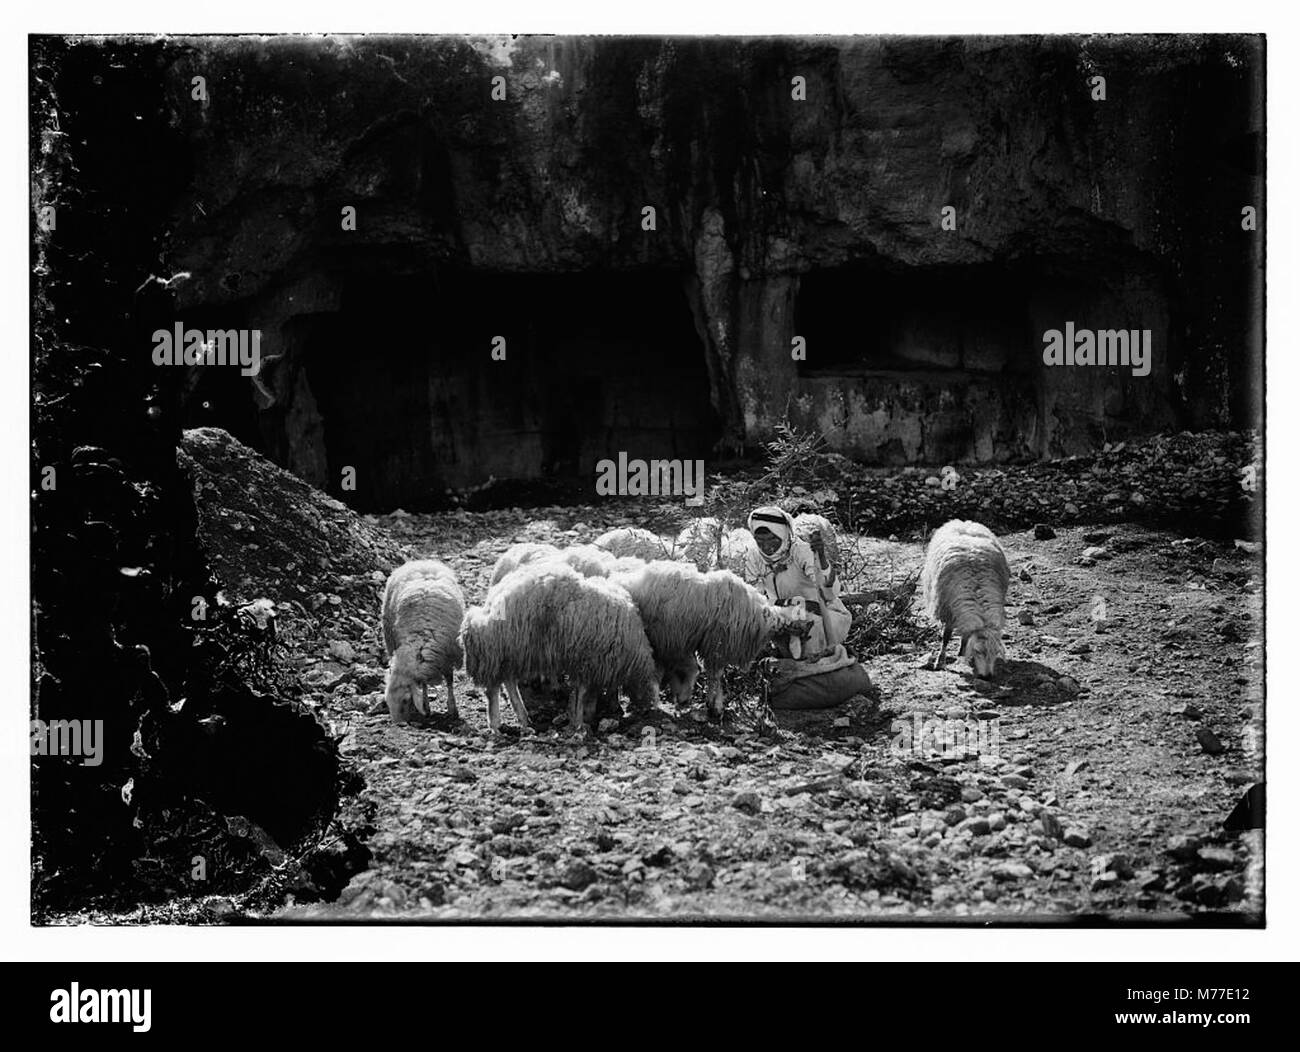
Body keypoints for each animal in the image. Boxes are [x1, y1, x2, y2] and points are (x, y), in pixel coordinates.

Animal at [381, 559, 466, 723]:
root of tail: (422, 562)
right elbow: (424, 684)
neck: (423, 638)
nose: (398, 724)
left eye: (406, 700)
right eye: (387, 701)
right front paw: (426, 706)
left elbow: (450, 681)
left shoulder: (448, 656)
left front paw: (453, 709)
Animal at [460, 561, 659, 732]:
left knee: (508, 682)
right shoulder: (588, 660)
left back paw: (523, 718)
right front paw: (579, 720)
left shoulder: (593, 665)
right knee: (494, 687)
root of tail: (493, 599)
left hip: (513, 651)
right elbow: (583, 692)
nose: (647, 713)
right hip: (502, 646)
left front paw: (586, 714)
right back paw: (495, 723)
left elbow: (589, 692)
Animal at [610, 561, 812, 719]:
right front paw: (715, 705)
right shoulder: (717, 646)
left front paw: (690, 697)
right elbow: (714, 675)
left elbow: (696, 670)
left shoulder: (685, 642)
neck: (762, 619)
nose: (809, 631)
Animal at [919, 519, 1011, 678]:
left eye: (996, 652)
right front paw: (940, 662)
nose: (987, 677)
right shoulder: (948, 611)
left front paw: (962, 652)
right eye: (978, 651)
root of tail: (964, 523)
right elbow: (946, 637)